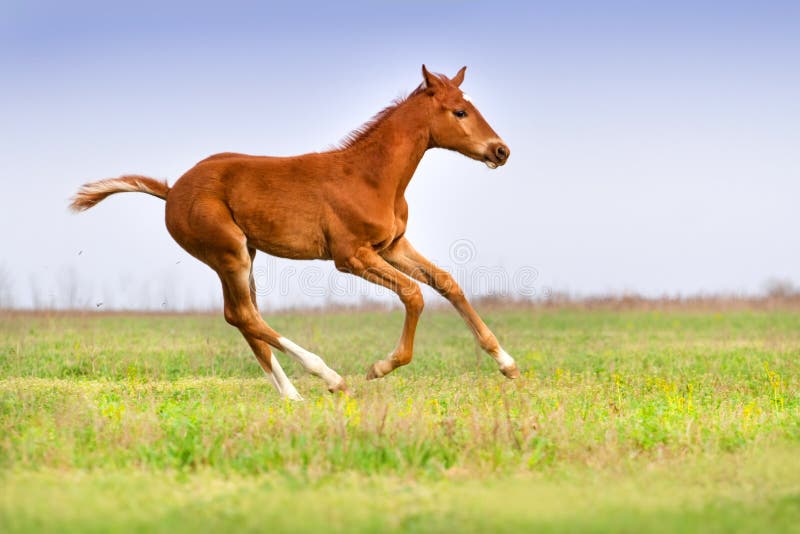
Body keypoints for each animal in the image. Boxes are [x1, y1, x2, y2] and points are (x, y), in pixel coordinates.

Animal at [70, 65, 519, 400]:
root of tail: (171, 191)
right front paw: (381, 367)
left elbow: (446, 282)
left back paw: (293, 395)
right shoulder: (351, 256)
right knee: (243, 315)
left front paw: (507, 363)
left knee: (243, 317)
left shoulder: (392, 246)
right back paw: (330, 378)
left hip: (244, 255)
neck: (371, 177)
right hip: (229, 252)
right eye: (459, 112)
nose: (501, 150)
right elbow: (413, 294)